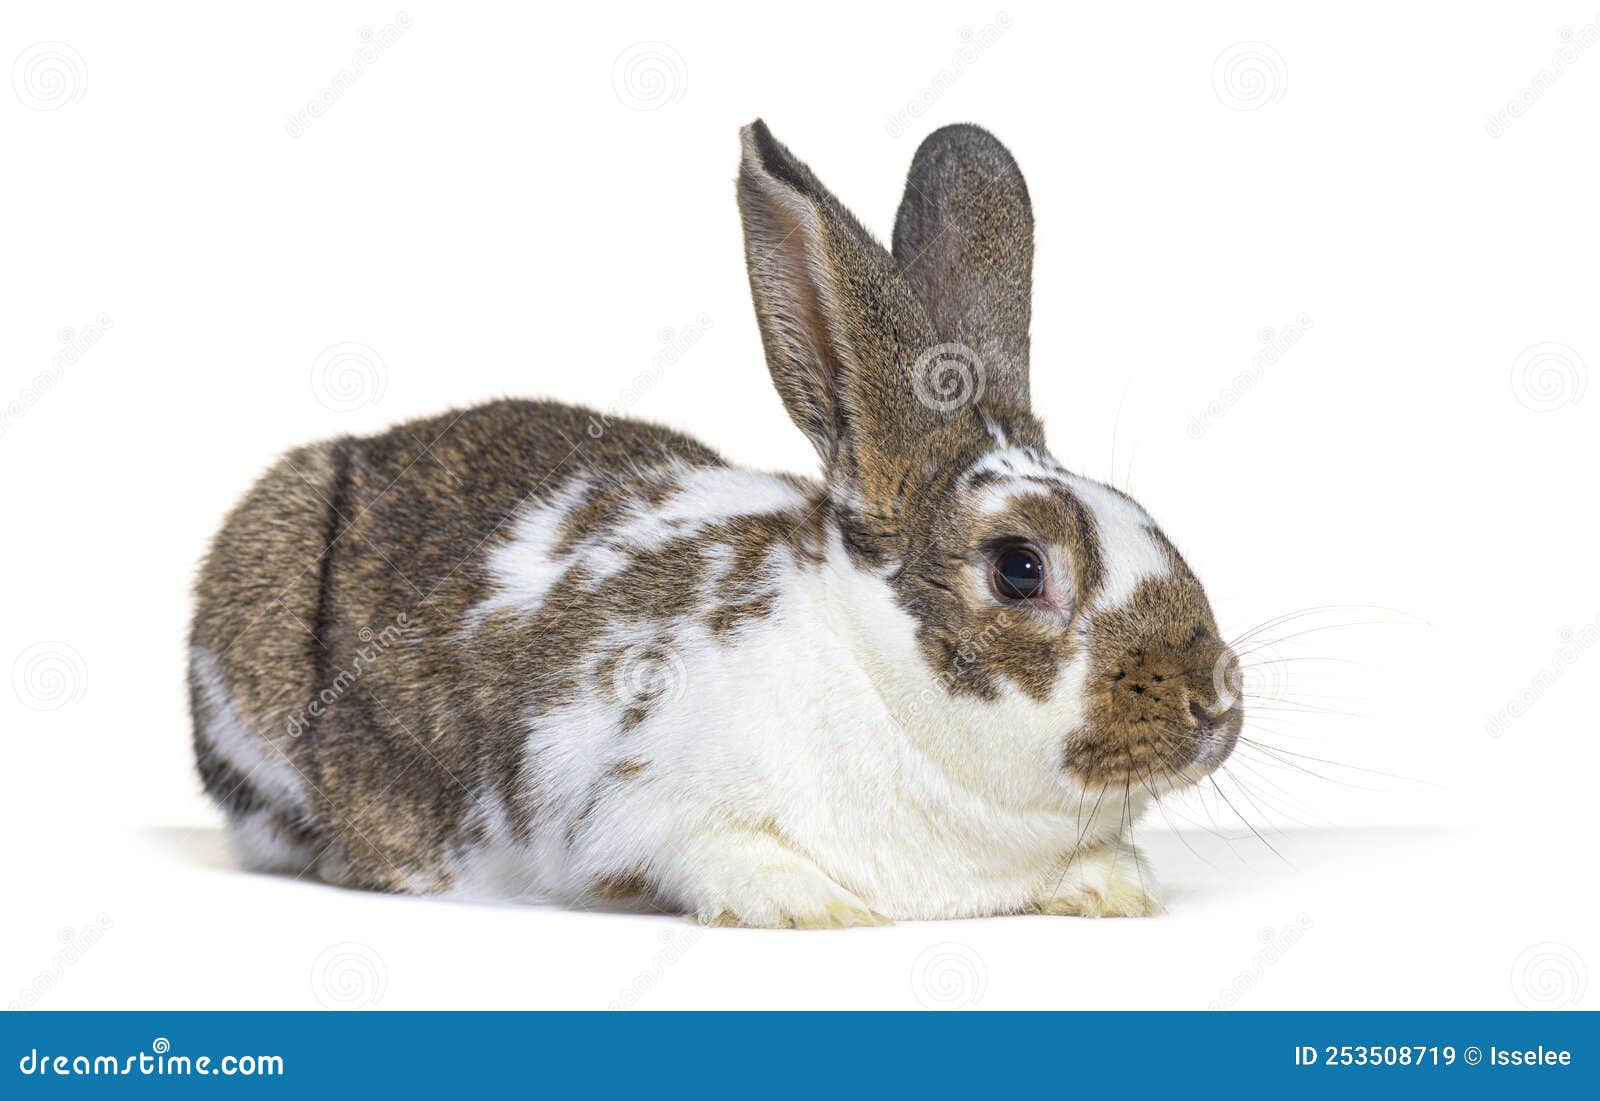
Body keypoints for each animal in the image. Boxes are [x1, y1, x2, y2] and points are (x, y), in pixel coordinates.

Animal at [189, 120, 1243, 927]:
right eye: (1020, 567)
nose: (1216, 698)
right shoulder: (626, 794)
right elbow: (711, 849)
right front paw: (812, 906)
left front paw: (1114, 888)